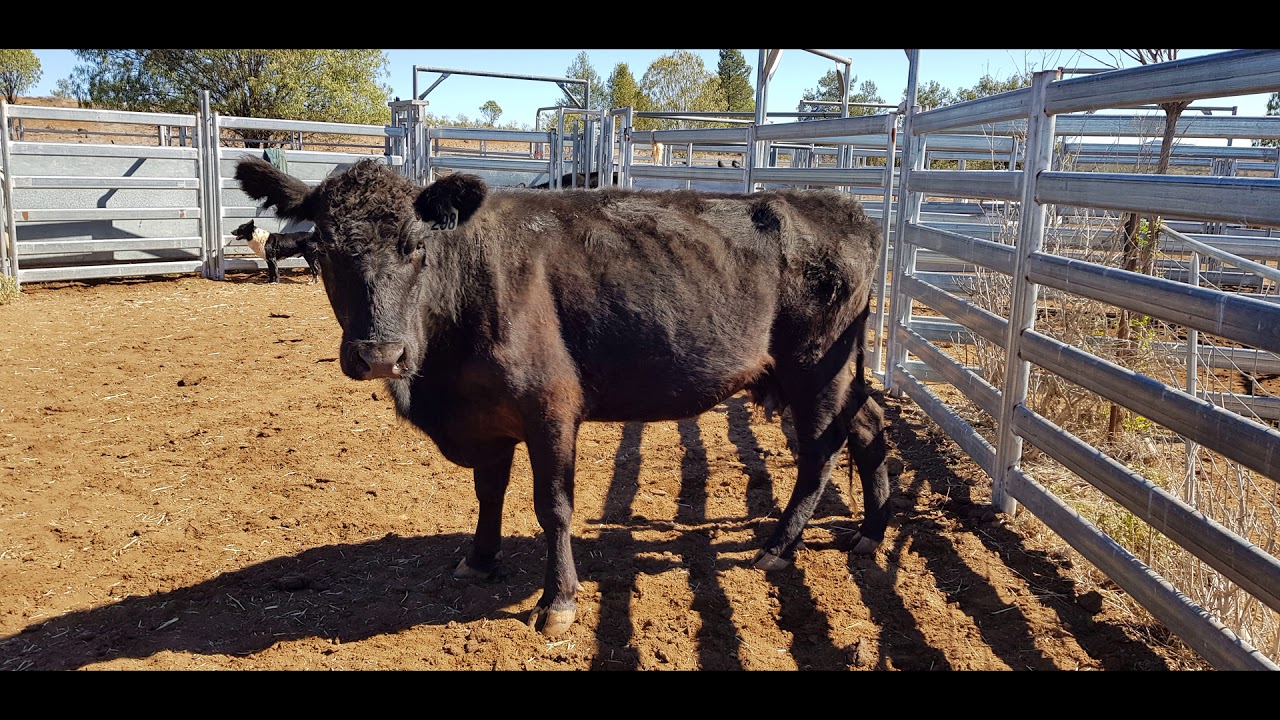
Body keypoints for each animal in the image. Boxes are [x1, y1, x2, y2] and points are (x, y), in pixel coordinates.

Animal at [233, 156, 892, 637]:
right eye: (322, 248)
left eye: (415, 247)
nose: (378, 355)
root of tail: (843, 206)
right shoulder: (487, 417)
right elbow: (489, 493)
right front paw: (479, 558)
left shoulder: (549, 407)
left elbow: (553, 506)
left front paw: (558, 602)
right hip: (825, 376)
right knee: (869, 427)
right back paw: (870, 532)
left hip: (816, 371)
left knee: (821, 451)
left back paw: (778, 546)